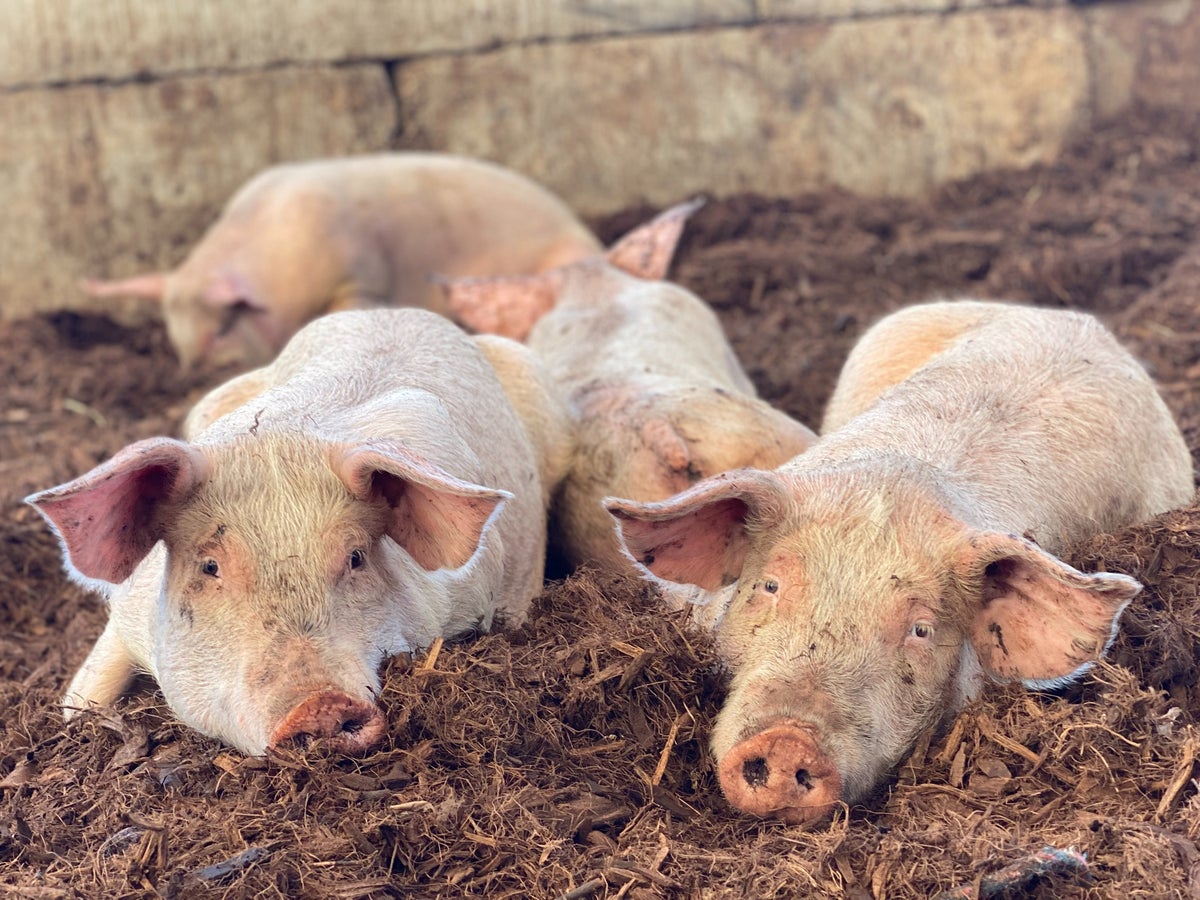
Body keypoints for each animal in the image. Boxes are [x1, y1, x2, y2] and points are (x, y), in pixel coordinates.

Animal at [27, 308, 571, 756]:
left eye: (356, 558)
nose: (321, 703)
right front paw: (72, 717)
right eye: (210, 566)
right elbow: (90, 684)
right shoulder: (129, 605)